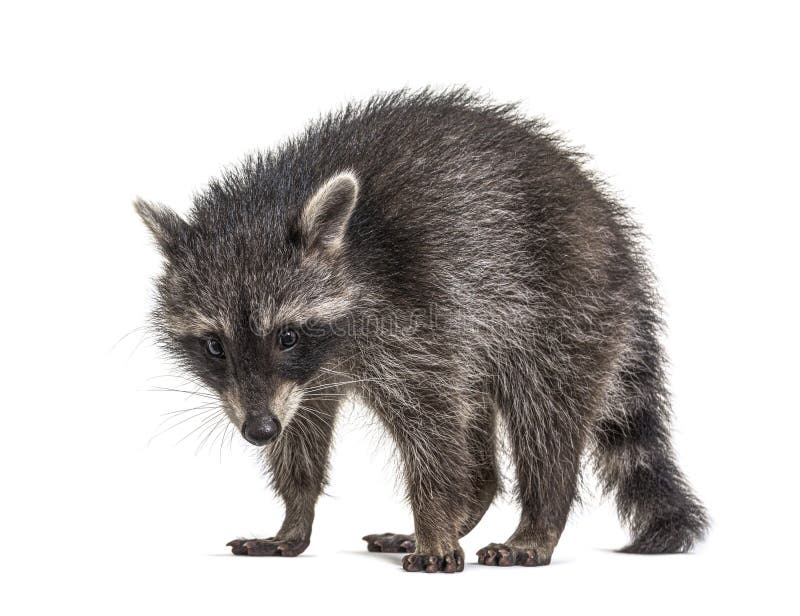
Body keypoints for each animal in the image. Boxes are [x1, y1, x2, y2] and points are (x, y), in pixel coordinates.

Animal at [135, 89, 708, 573]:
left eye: (287, 336)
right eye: (215, 346)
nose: (257, 431)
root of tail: (613, 236)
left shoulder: (411, 312)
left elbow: (431, 425)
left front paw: (435, 519)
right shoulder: (300, 382)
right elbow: (302, 433)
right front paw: (294, 518)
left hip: (561, 306)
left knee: (544, 415)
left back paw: (537, 519)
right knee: (474, 410)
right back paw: (472, 499)